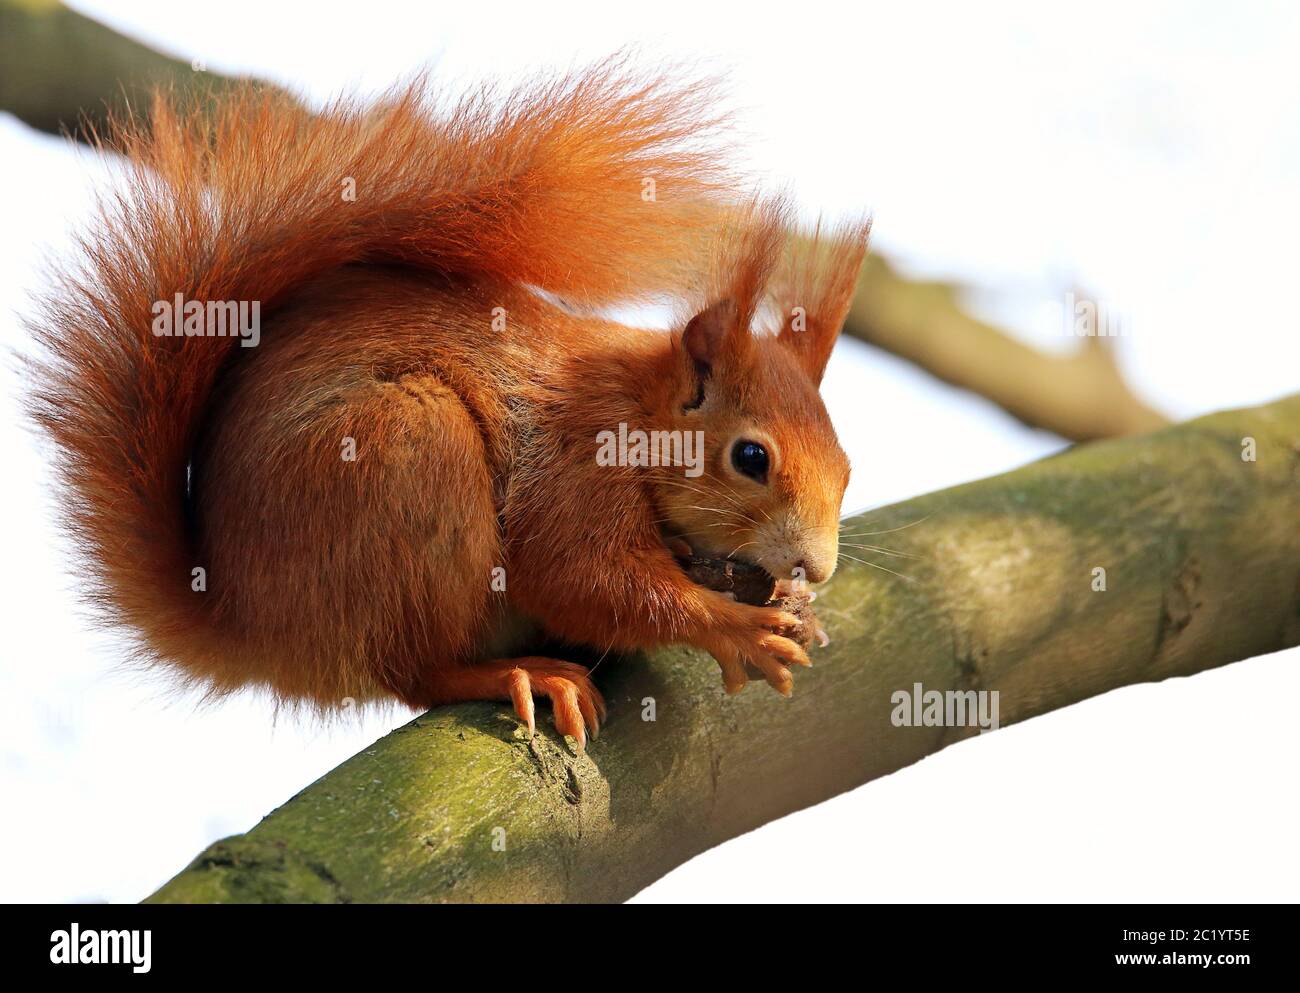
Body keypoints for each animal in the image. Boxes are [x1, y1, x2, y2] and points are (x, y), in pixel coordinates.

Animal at [26, 60, 869, 749]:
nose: (818, 565)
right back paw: (515, 674)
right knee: (412, 669)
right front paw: (737, 626)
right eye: (751, 456)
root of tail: (252, 624)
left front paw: (792, 601)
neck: (636, 411)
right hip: (407, 453)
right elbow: (583, 579)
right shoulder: (576, 466)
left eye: (848, 467)